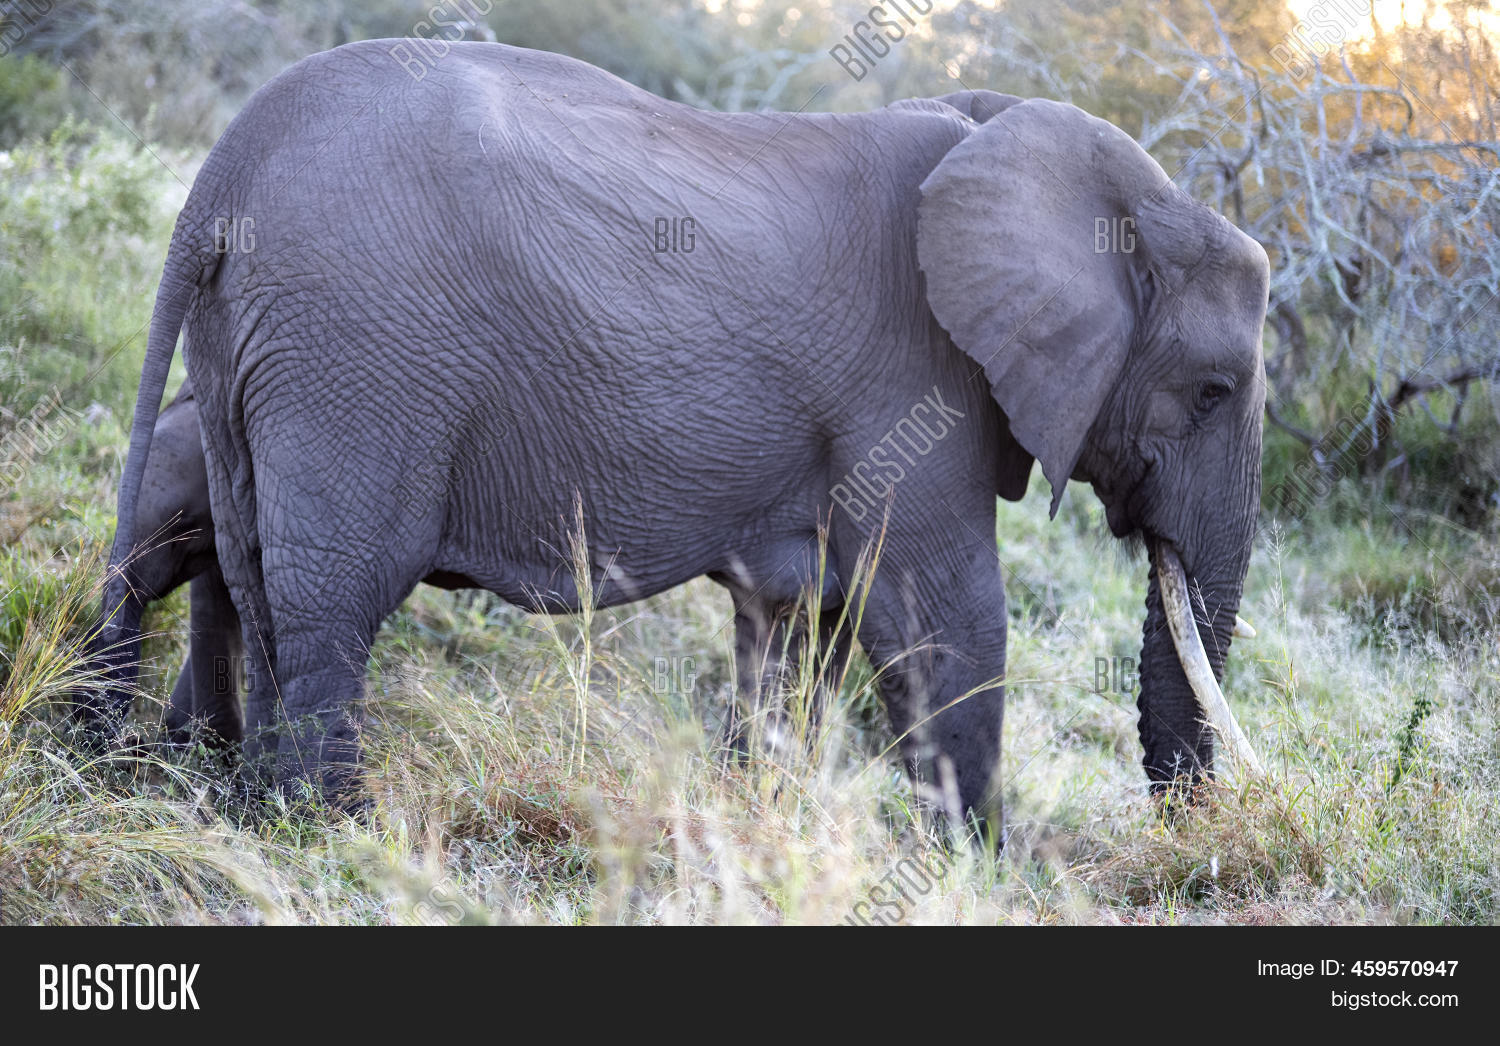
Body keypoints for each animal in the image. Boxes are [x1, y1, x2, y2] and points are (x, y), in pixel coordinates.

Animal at [90, 40, 1270, 836]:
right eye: (1213, 391)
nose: (1188, 827)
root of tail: (221, 177)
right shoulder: (915, 388)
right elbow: (947, 624)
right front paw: (975, 871)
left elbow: (793, 623)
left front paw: (763, 816)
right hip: (359, 352)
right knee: (332, 594)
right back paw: (336, 832)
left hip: (253, 351)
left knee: (248, 569)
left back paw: (242, 806)